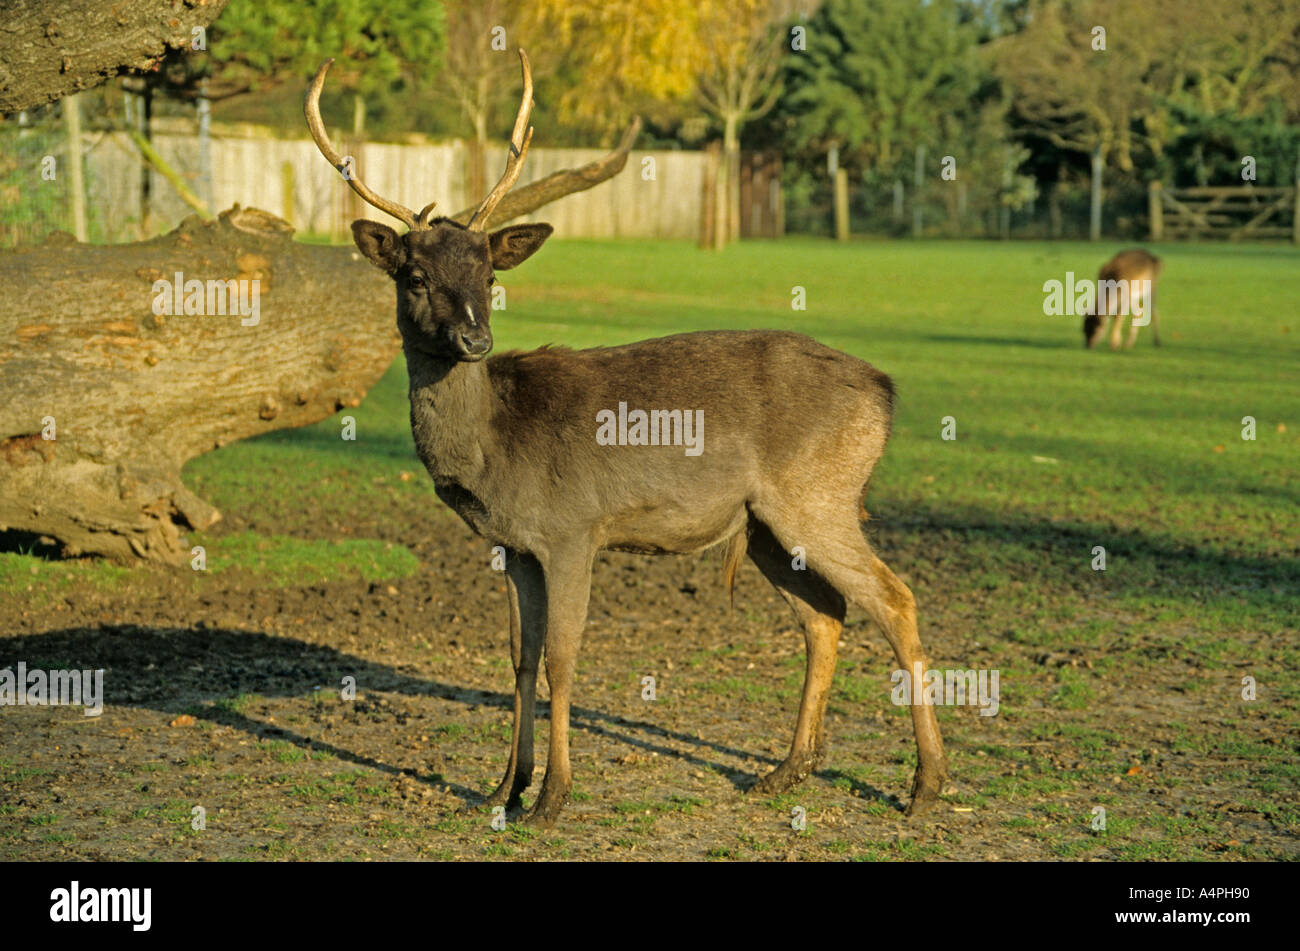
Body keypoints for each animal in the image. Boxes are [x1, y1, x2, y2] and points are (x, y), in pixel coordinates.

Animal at [306, 49, 948, 825]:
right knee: (825, 616)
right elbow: (519, 658)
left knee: (896, 598)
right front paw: (501, 790)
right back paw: (786, 771)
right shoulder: (514, 546)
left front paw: (551, 798)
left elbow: (562, 658)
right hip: (766, 523)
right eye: (416, 275)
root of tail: (884, 390)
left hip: (817, 495)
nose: (474, 340)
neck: (495, 448)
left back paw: (926, 785)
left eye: (488, 273)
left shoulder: (572, 529)